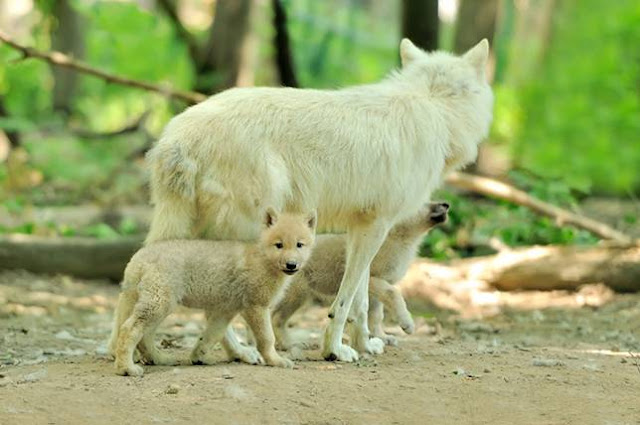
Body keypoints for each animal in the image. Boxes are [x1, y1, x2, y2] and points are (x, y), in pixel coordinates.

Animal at [109, 208, 316, 376]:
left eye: (299, 245)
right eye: (279, 245)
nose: (291, 264)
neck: (264, 259)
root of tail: (138, 257)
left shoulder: (226, 310)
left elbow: (212, 334)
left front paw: (198, 355)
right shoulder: (256, 307)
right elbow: (267, 338)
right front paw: (276, 361)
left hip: (155, 305)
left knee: (143, 336)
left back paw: (159, 359)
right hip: (159, 305)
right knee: (129, 330)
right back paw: (126, 369)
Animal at [272, 201, 449, 349]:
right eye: (424, 202)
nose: (446, 204)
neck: (399, 240)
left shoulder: (377, 292)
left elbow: (376, 316)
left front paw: (382, 337)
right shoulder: (374, 280)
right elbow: (395, 293)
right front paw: (407, 323)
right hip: (296, 294)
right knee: (277, 318)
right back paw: (289, 344)